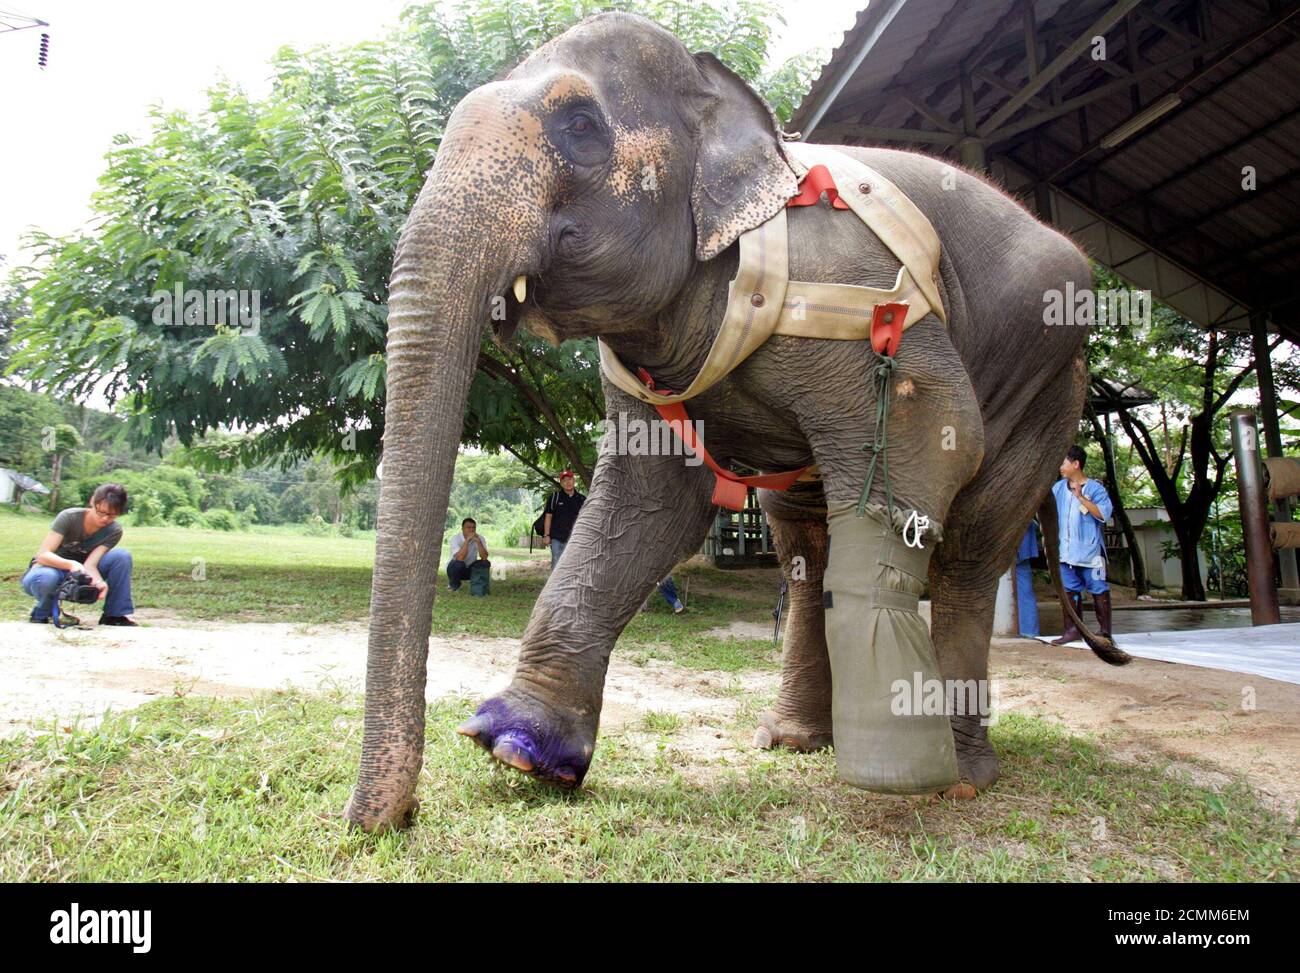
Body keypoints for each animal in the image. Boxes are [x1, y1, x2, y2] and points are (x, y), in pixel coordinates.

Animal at [344, 11, 1123, 832]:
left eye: (581, 126)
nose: (386, 822)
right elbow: (647, 503)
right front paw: (516, 749)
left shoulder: (851, 289)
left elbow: (939, 426)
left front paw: (891, 770)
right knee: (805, 544)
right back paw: (793, 739)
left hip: (1049, 387)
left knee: (970, 551)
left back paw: (961, 776)